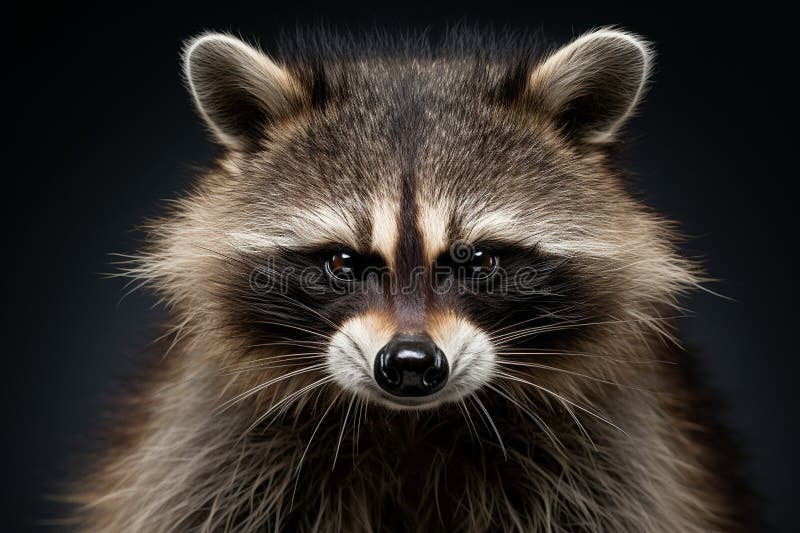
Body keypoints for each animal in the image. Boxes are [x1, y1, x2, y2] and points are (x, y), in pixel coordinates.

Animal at [70, 28, 761, 532]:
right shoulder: (213, 456)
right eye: (343, 264)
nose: (409, 364)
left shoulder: (612, 463)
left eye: (478, 261)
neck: (411, 426)